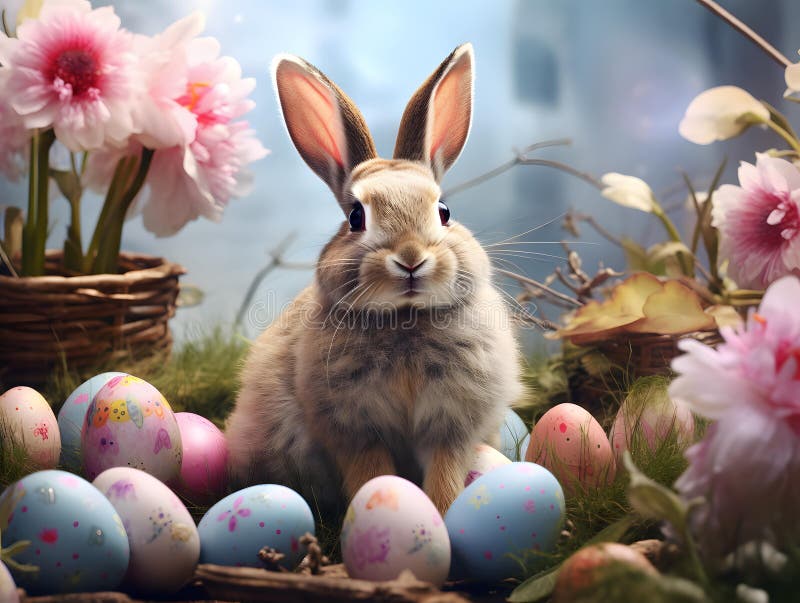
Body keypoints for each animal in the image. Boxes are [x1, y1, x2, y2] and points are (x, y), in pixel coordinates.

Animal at [225, 43, 524, 515]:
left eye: (444, 212)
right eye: (356, 217)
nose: (410, 259)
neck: (405, 319)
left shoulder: (452, 426)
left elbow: (445, 473)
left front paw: (442, 512)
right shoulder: (353, 429)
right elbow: (371, 472)